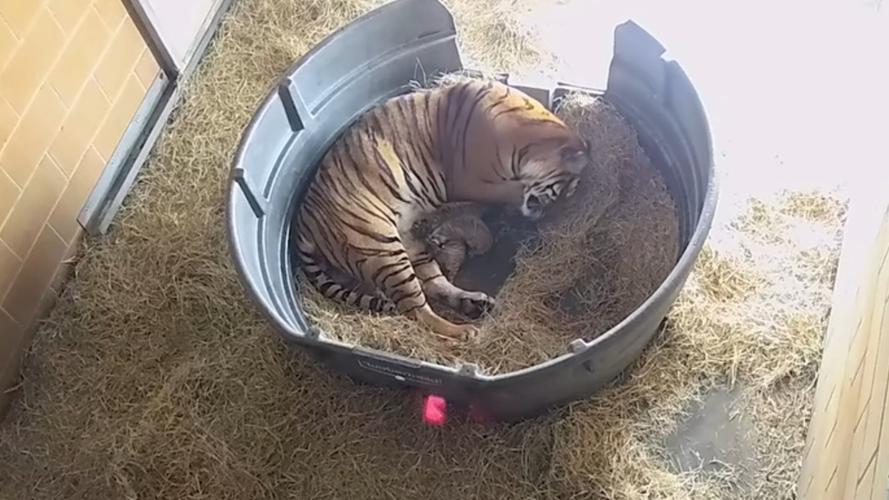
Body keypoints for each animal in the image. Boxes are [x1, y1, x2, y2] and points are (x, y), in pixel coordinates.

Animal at [294, 79, 591, 340]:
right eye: (561, 195)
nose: (544, 218)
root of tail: (304, 229)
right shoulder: (470, 179)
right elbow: (505, 194)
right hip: (380, 246)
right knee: (416, 309)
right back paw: (462, 332)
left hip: (408, 246)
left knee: (434, 284)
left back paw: (473, 303)